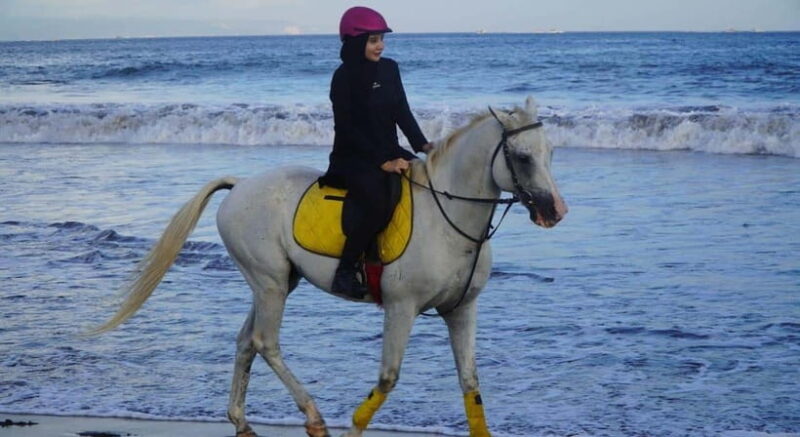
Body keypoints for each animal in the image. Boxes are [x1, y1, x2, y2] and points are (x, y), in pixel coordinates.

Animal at [94, 96, 567, 437]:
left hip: (276, 282)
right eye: (522, 157)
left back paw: (242, 422)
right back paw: (313, 416)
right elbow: (387, 379)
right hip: (269, 282)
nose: (555, 211)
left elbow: (471, 387)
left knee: (246, 341)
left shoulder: (462, 310)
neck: (447, 216)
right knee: (265, 341)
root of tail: (239, 186)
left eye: (550, 152)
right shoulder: (401, 308)